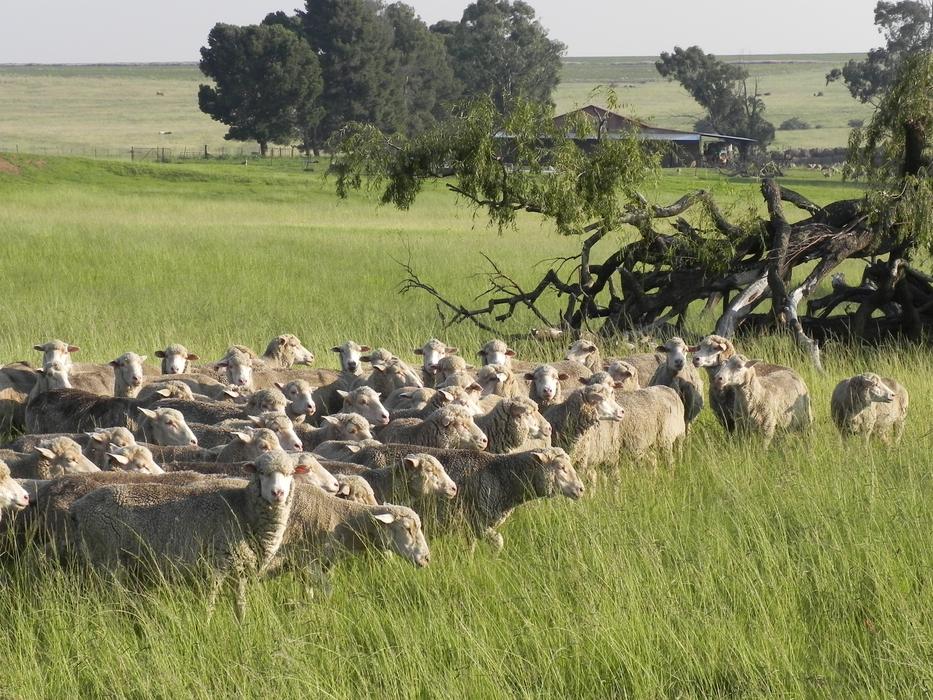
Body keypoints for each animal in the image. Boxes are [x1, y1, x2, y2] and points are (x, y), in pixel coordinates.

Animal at [69, 451, 308, 620]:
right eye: (261, 473)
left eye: (291, 473)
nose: (278, 493)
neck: (243, 507)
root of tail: (78, 507)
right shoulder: (217, 563)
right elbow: (210, 602)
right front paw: (207, 626)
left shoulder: (239, 568)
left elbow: (240, 606)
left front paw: (242, 628)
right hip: (106, 559)